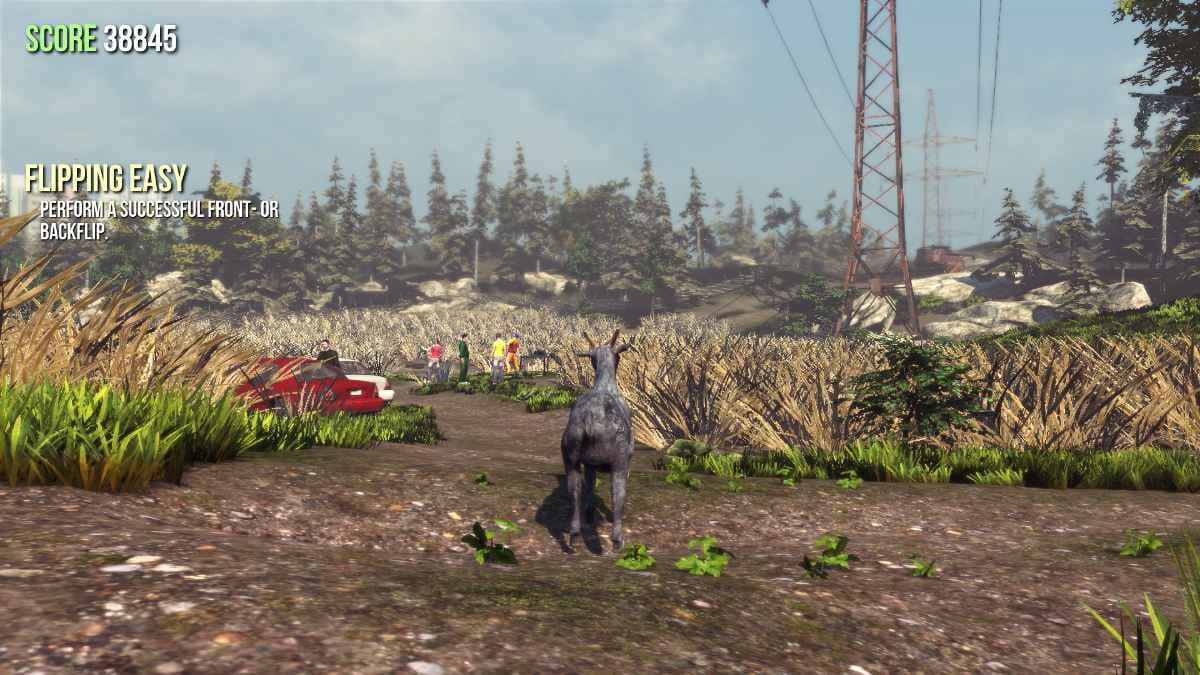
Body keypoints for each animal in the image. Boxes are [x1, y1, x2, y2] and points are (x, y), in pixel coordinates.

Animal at [561, 329, 635, 551]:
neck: (604, 384)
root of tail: (590, 423)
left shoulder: (590, 463)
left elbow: (590, 486)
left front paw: (589, 511)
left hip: (570, 454)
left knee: (574, 491)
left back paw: (575, 534)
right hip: (620, 459)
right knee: (617, 495)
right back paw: (617, 539)